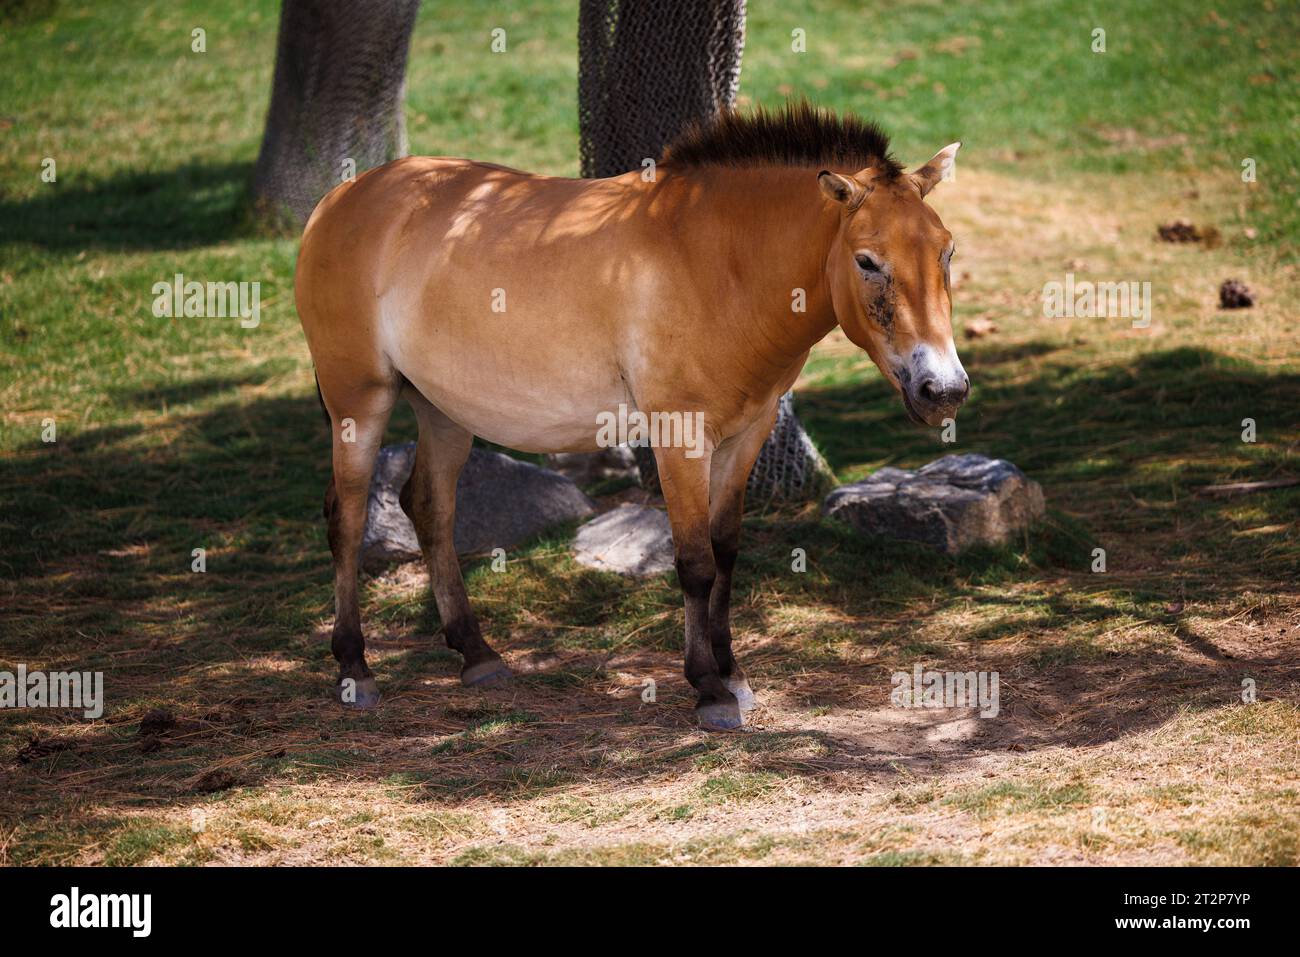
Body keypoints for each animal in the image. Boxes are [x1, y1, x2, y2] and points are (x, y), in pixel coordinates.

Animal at [295, 102, 970, 730]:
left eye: (947, 252)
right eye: (867, 261)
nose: (943, 389)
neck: (717, 261)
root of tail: (338, 199)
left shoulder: (746, 434)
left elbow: (726, 550)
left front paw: (734, 672)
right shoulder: (680, 436)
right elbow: (694, 562)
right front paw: (709, 689)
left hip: (443, 411)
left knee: (430, 508)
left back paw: (477, 654)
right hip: (359, 401)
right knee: (346, 517)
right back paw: (355, 667)